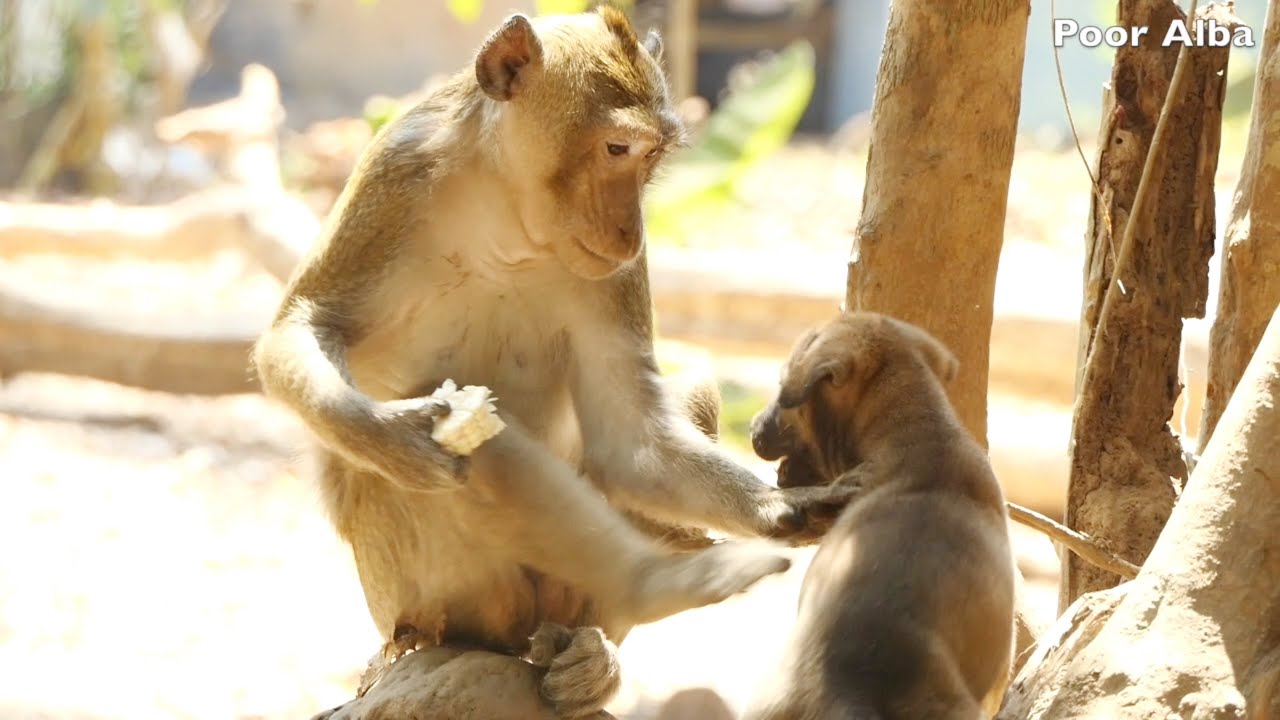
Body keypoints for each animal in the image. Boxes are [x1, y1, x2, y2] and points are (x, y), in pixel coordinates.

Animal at [250, 7, 856, 718]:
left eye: (650, 157)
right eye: (616, 149)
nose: (630, 231)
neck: (506, 217)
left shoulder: (613, 274)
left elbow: (632, 443)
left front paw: (783, 508)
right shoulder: (395, 175)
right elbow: (302, 327)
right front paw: (387, 434)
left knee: (681, 400)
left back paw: (614, 630)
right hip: (429, 598)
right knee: (423, 483)